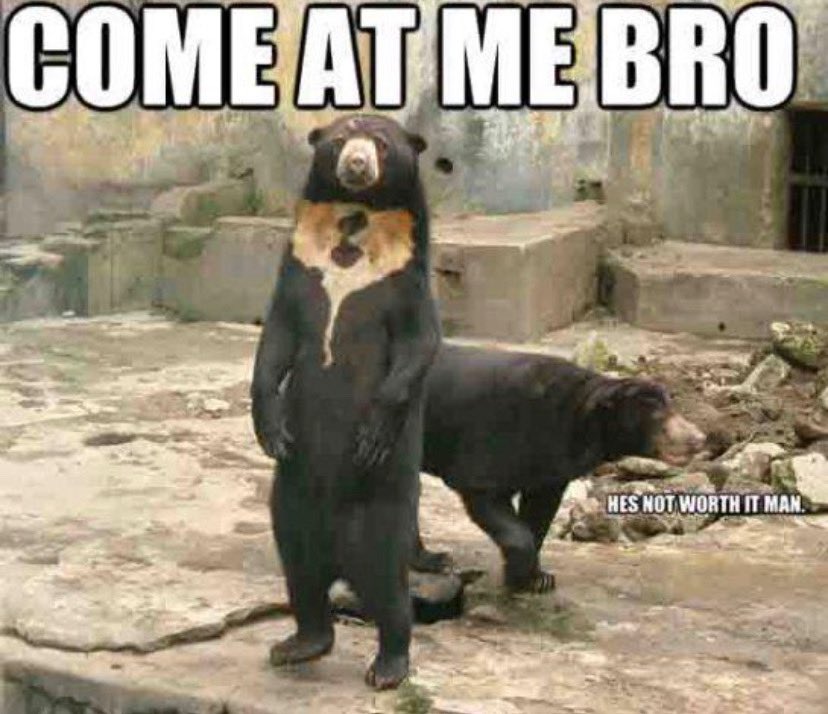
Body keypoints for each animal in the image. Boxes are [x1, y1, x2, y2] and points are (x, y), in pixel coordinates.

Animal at [251, 114, 440, 690]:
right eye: (339, 138)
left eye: (380, 143)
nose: (356, 164)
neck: (354, 226)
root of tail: (338, 555)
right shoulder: (299, 266)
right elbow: (277, 338)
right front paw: (272, 429)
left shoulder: (403, 279)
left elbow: (418, 344)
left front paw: (373, 433)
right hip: (290, 506)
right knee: (300, 574)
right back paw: (297, 645)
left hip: (380, 511)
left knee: (389, 591)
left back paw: (388, 667)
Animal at [412, 344, 706, 592]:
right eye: (658, 417)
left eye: (673, 408)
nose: (699, 438)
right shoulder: (493, 439)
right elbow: (485, 492)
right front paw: (523, 575)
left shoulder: (551, 466)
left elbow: (539, 513)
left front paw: (537, 579)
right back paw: (438, 560)